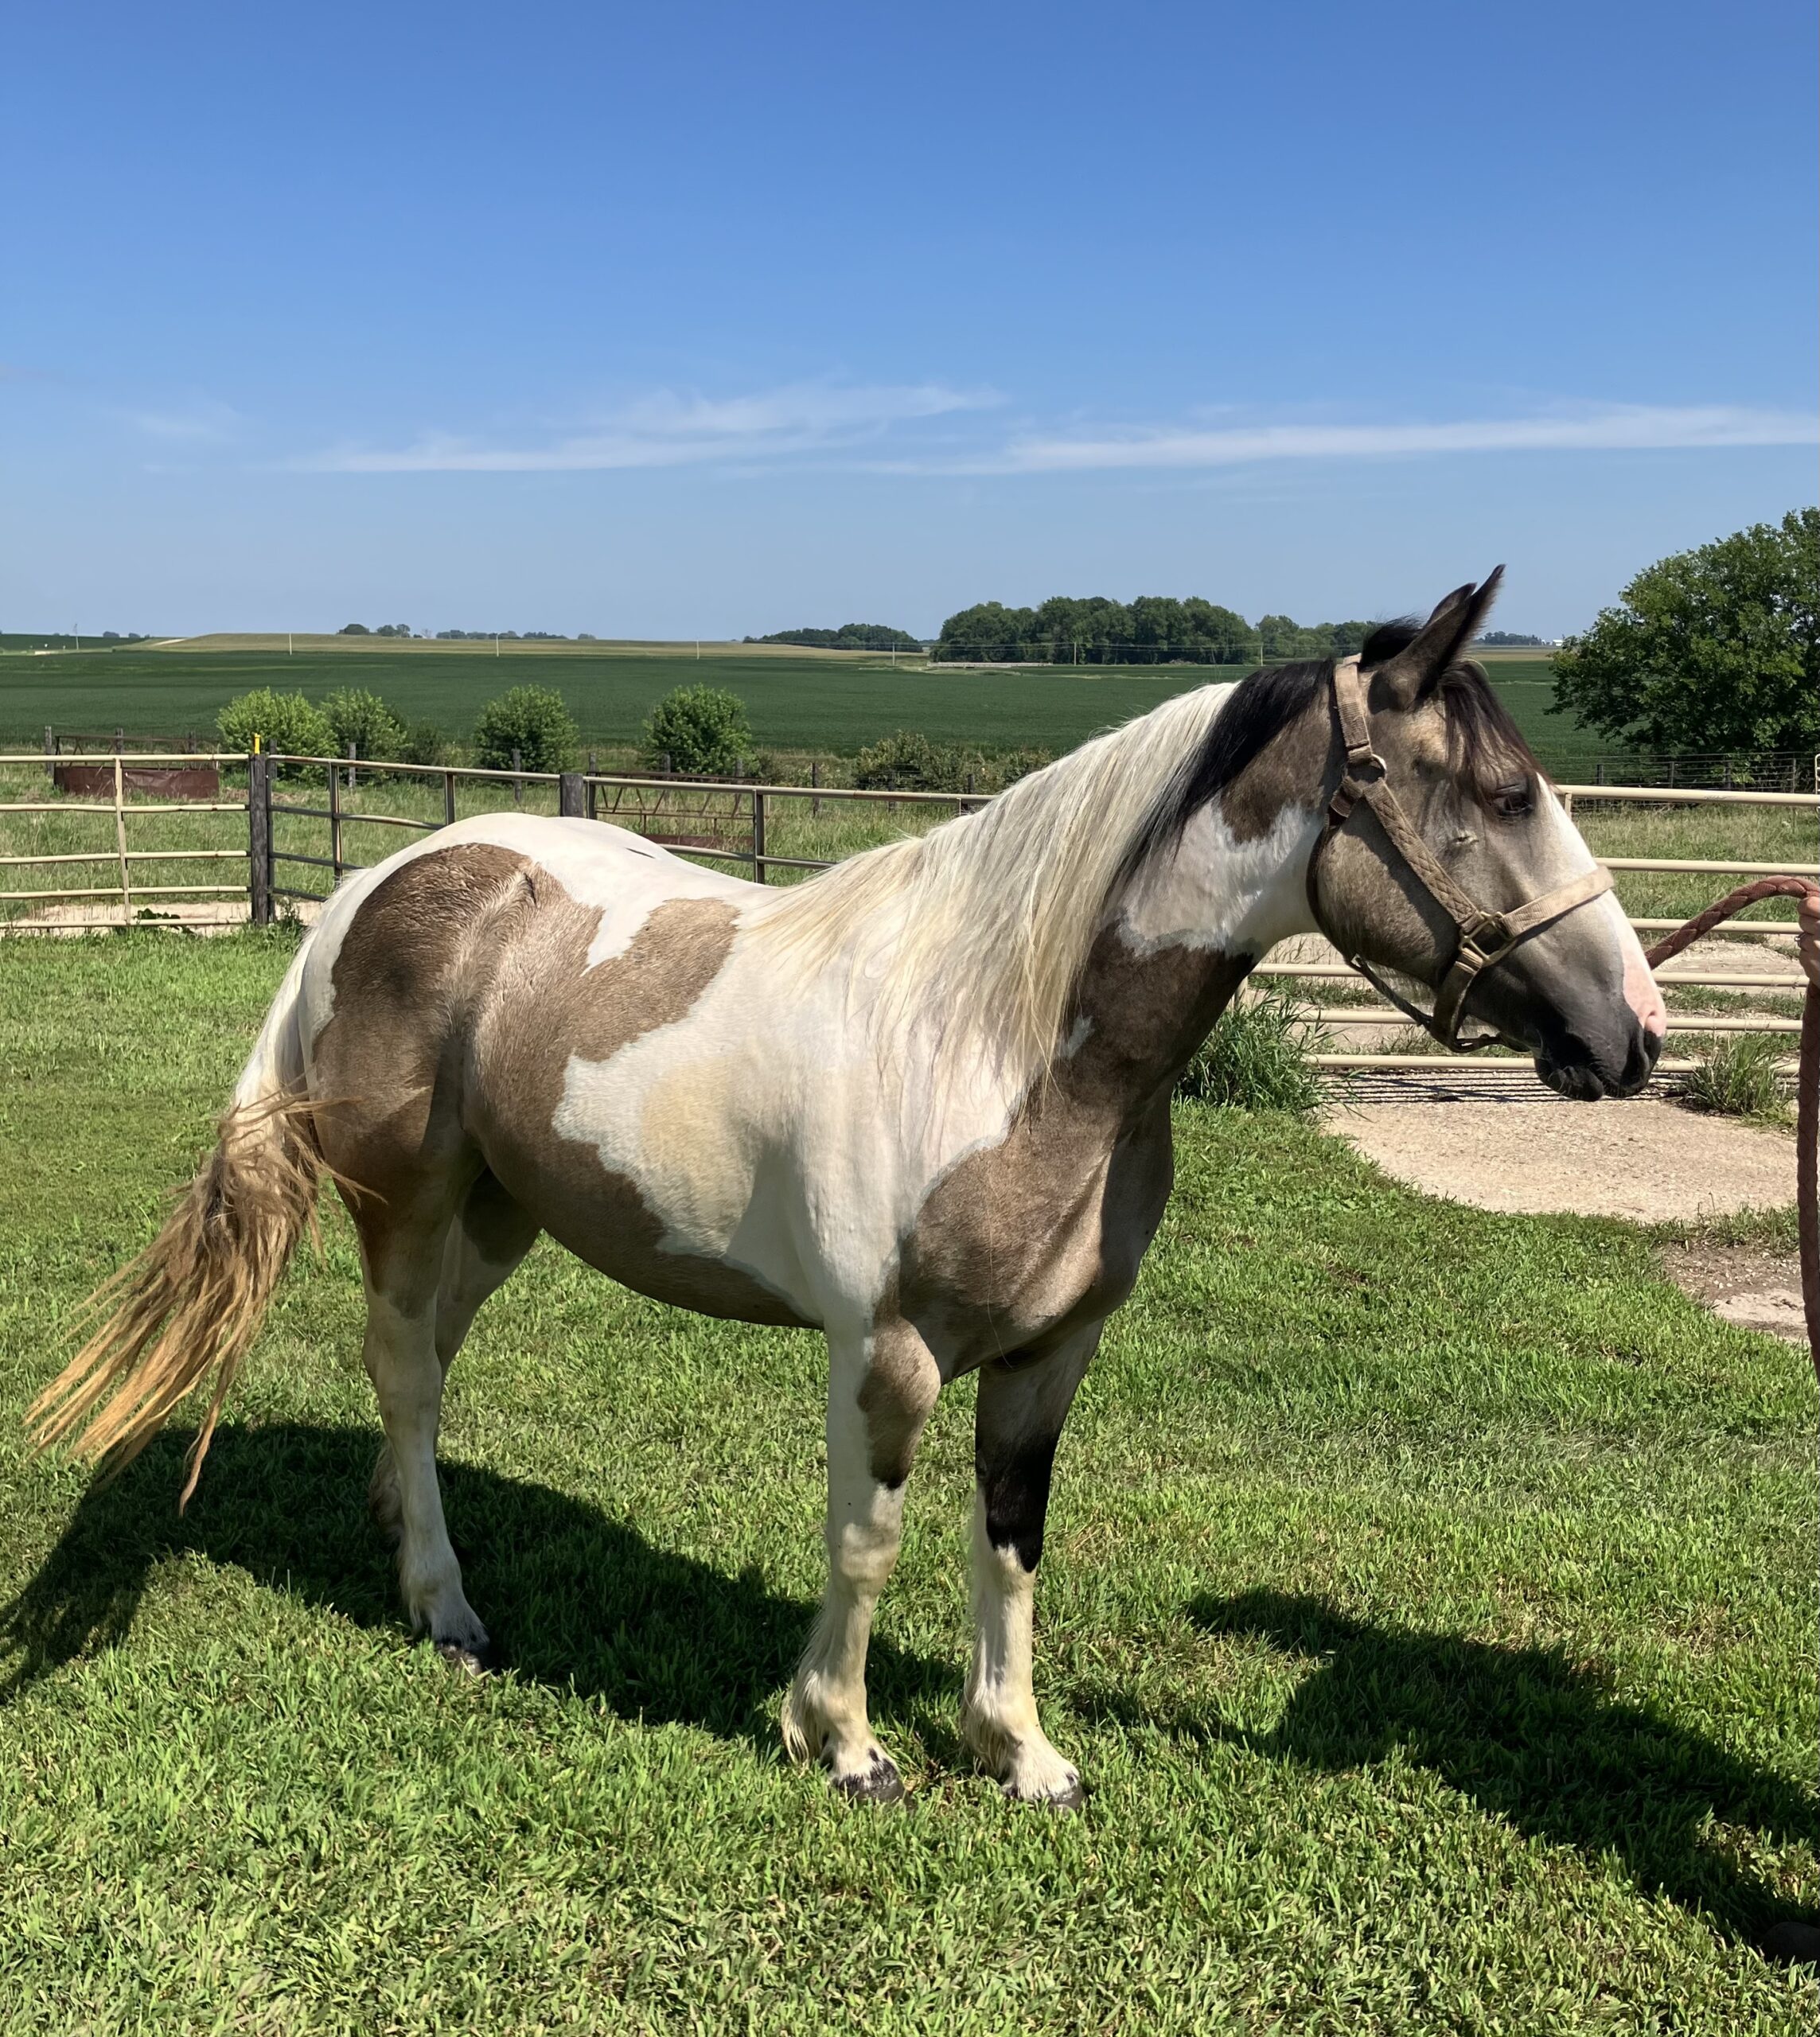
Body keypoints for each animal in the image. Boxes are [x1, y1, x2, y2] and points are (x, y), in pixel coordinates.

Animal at [29, 572, 1665, 1808]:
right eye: (1502, 795)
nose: (1633, 1034)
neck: (1003, 1041)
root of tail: (374, 889)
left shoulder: (1050, 1357)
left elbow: (1010, 1544)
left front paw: (1021, 1754)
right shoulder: (886, 1355)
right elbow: (867, 1542)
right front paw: (845, 1742)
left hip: (507, 1213)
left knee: (419, 1371)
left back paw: (397, 1535)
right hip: (412, 1203)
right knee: (406, 1373)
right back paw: (446, 1605)